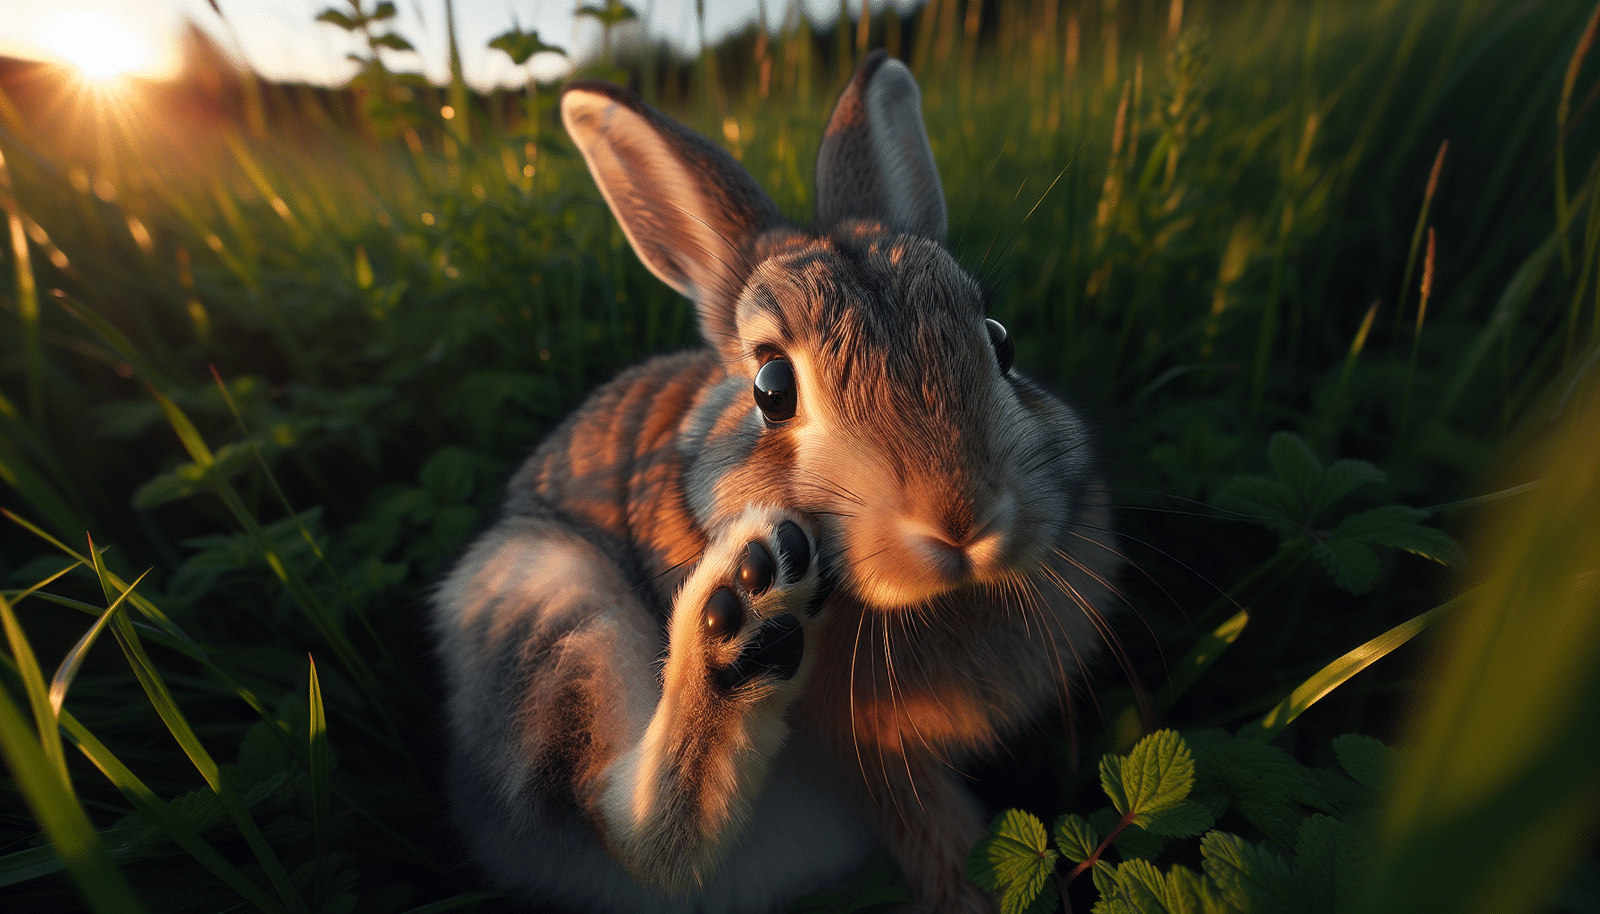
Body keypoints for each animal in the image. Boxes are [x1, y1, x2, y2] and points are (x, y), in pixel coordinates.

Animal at [430, 50, 1119, 914]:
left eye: (1001, 341)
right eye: (770, 387)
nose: (965, 518)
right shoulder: (878, 766)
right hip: (543, 601)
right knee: (638, 836)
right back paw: (743, 619)